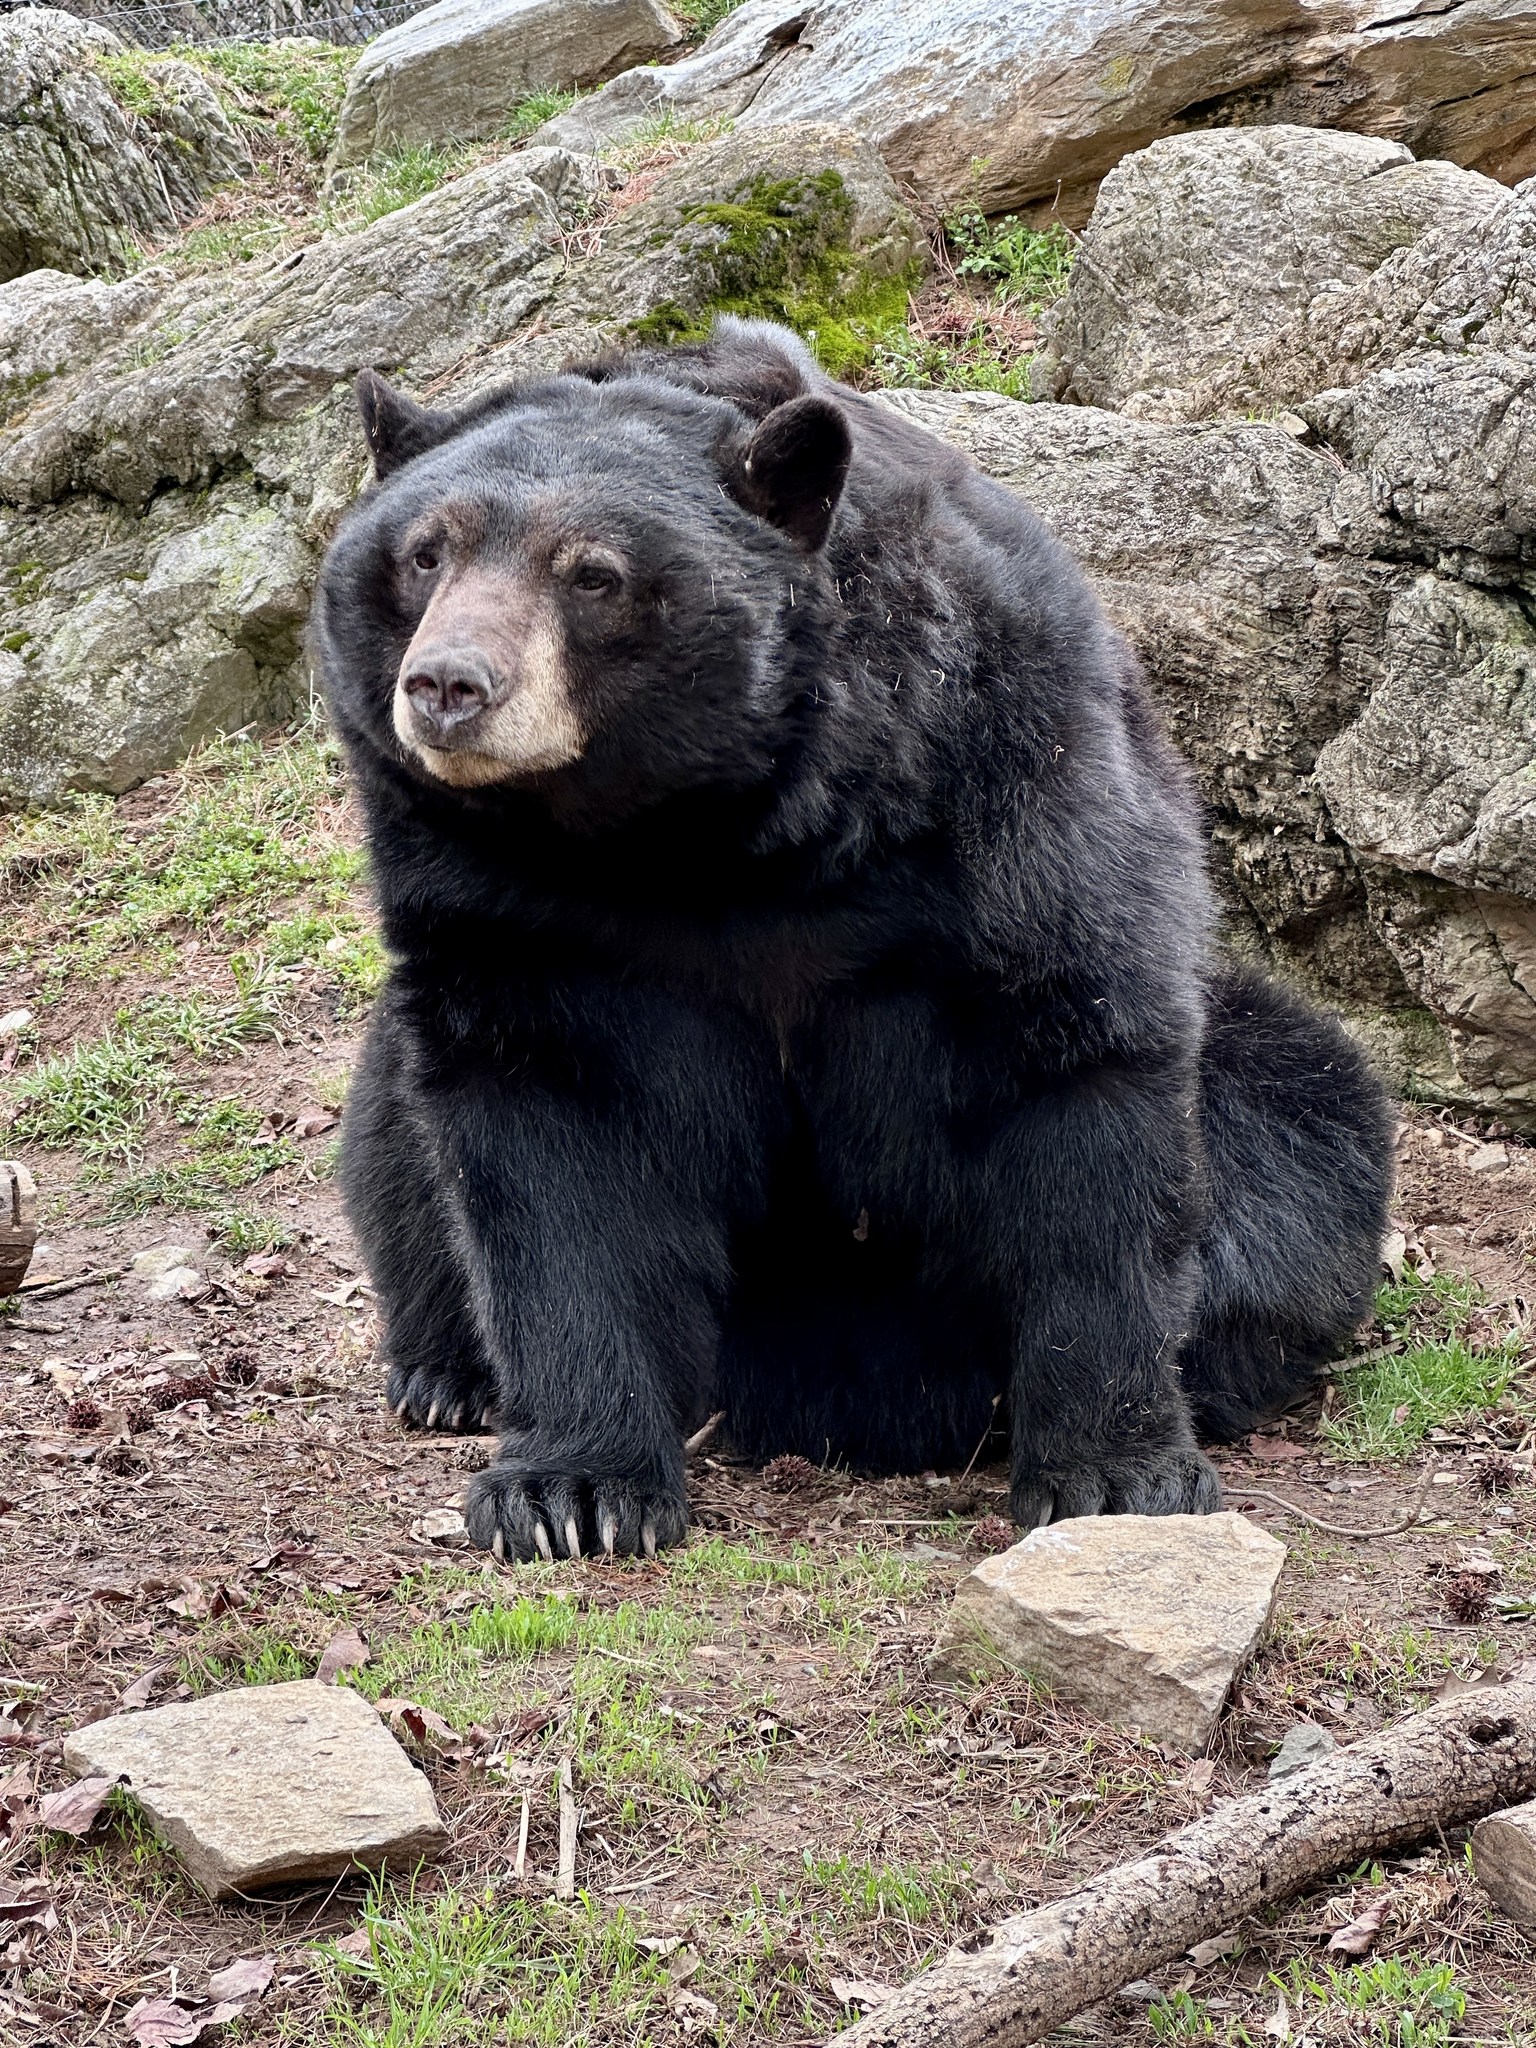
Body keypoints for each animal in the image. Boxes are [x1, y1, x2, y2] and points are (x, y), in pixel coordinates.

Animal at [313, 316, 1394, 1562]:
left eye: (594, 573)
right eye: (424, 554)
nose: (448, 685)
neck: (703, 835)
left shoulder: (999, 779)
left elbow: (1077, 1065)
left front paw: (1115, 1471)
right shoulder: (515, 906)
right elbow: (551, 1133)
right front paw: (571, 1492)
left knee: (1302, 1122)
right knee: (394, 1135)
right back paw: (445, 1372)